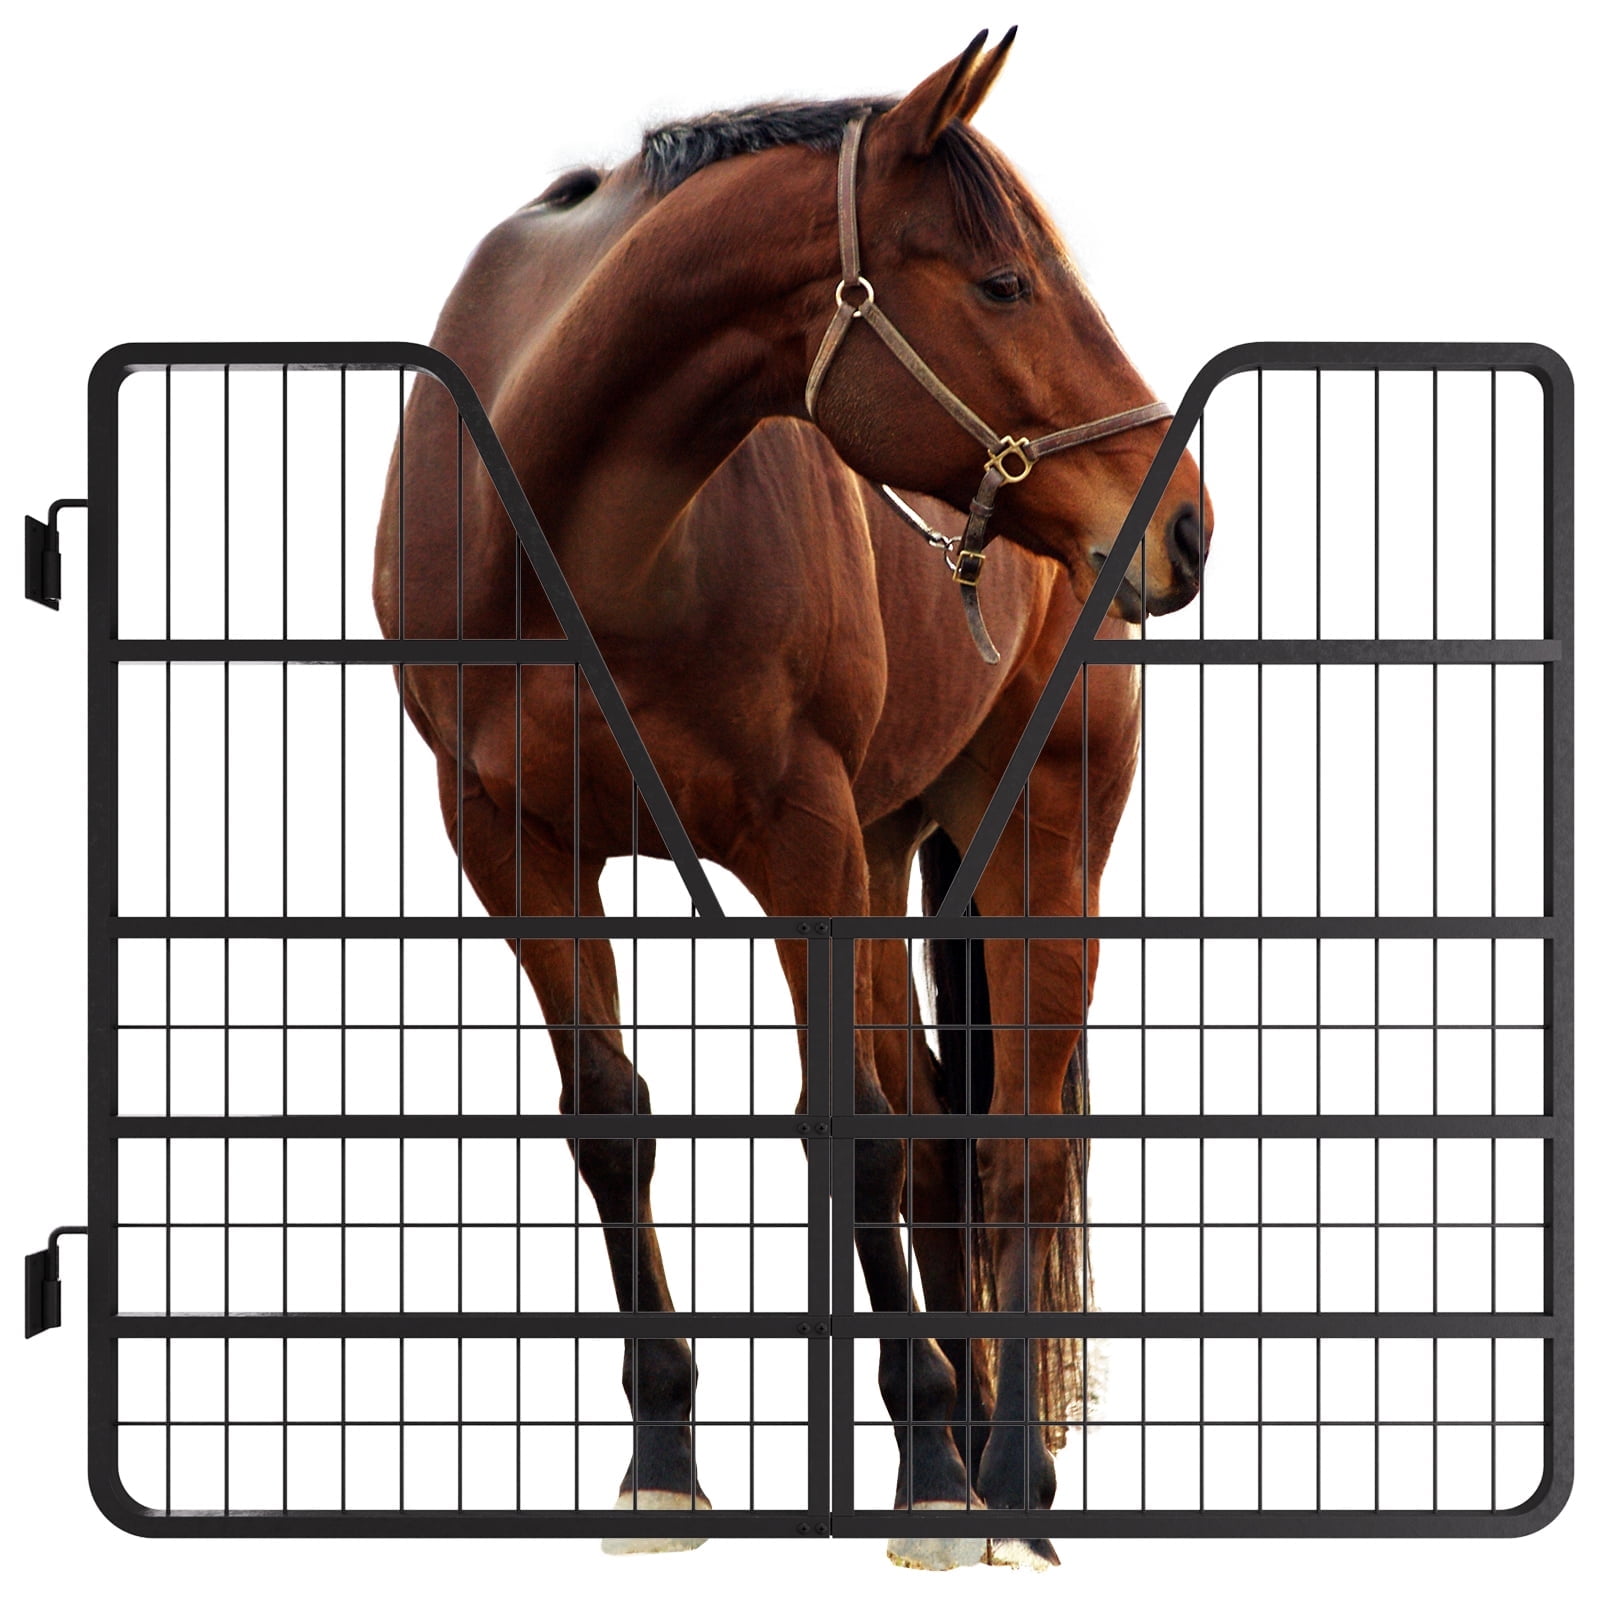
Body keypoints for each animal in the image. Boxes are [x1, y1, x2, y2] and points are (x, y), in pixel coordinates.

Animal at [374, 29, 1210, 1569]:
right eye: (1004, 282)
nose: (1184, 519)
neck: (583, 547)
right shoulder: (517, 851)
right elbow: (615, 1122)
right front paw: (664, 1465)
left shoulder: (798, 847)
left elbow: (854, 1135)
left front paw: (931, 1474)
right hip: (887, 852)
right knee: (947, 1135)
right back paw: (976, 1447)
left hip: (1042, 834)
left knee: (1019, 1143)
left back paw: (1004, 1478)